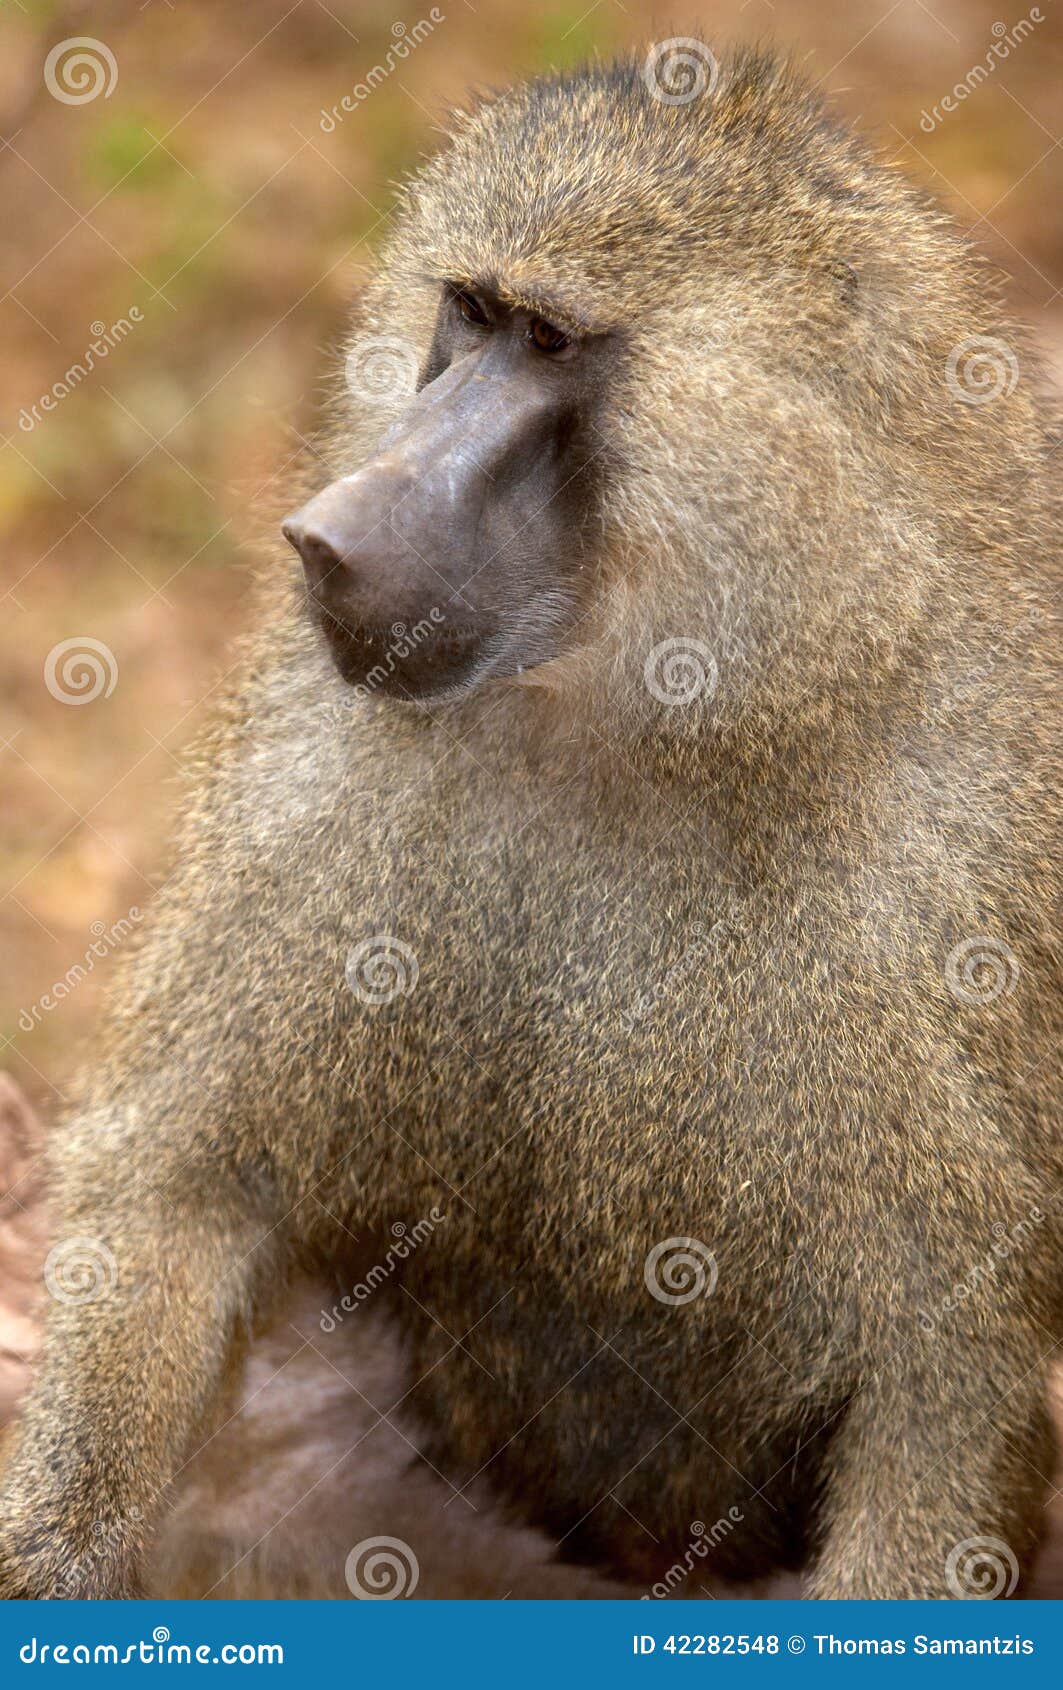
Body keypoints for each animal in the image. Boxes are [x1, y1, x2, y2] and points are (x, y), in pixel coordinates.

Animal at [0, 44, 1059, 1601]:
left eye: (551, 342)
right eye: (471, 313)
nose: (329, 532)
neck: (647, 715)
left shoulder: (961, 879)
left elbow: (944, 1384)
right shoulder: (323, 777)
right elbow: (180, 1190)